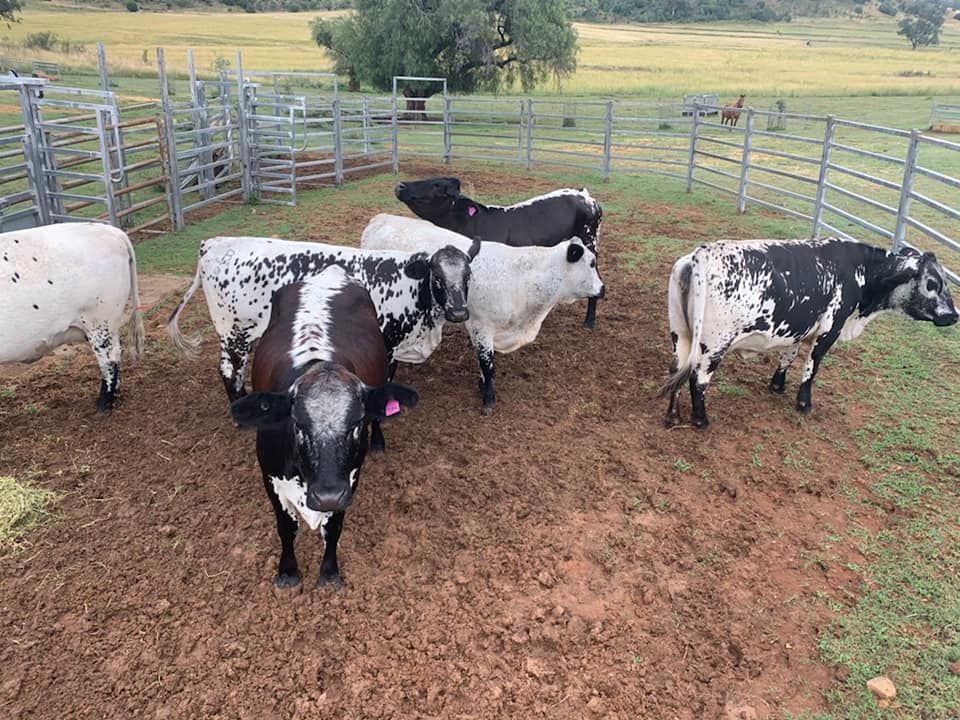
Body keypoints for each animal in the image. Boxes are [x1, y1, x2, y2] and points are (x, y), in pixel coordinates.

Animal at [231, 266, 418, 589]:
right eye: (297, 424)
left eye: (355, 424)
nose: (327, 496)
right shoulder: (270, 478)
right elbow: (286, 527)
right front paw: (287, 571)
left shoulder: (349, 480)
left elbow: (334, 528)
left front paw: (329, 572)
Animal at [361, 214, 605, 411]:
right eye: (591, 263)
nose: (603, 289)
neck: (521, 279)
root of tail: (379, 219)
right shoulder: (481, 326)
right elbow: (488, 365)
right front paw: (488, 398)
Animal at [660, 238, 958, 429]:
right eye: (932, 283)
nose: (954, 315)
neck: (859, 271)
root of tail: (701, 256)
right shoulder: (829, 330)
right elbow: (811, 368)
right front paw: (804, 404)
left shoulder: (799, 328)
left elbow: (788, 357)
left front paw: (777, 385)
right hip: (714, 345)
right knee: (698, 379)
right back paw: (701, 420)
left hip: (682, 336)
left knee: (676, 370)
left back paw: (673, 416)